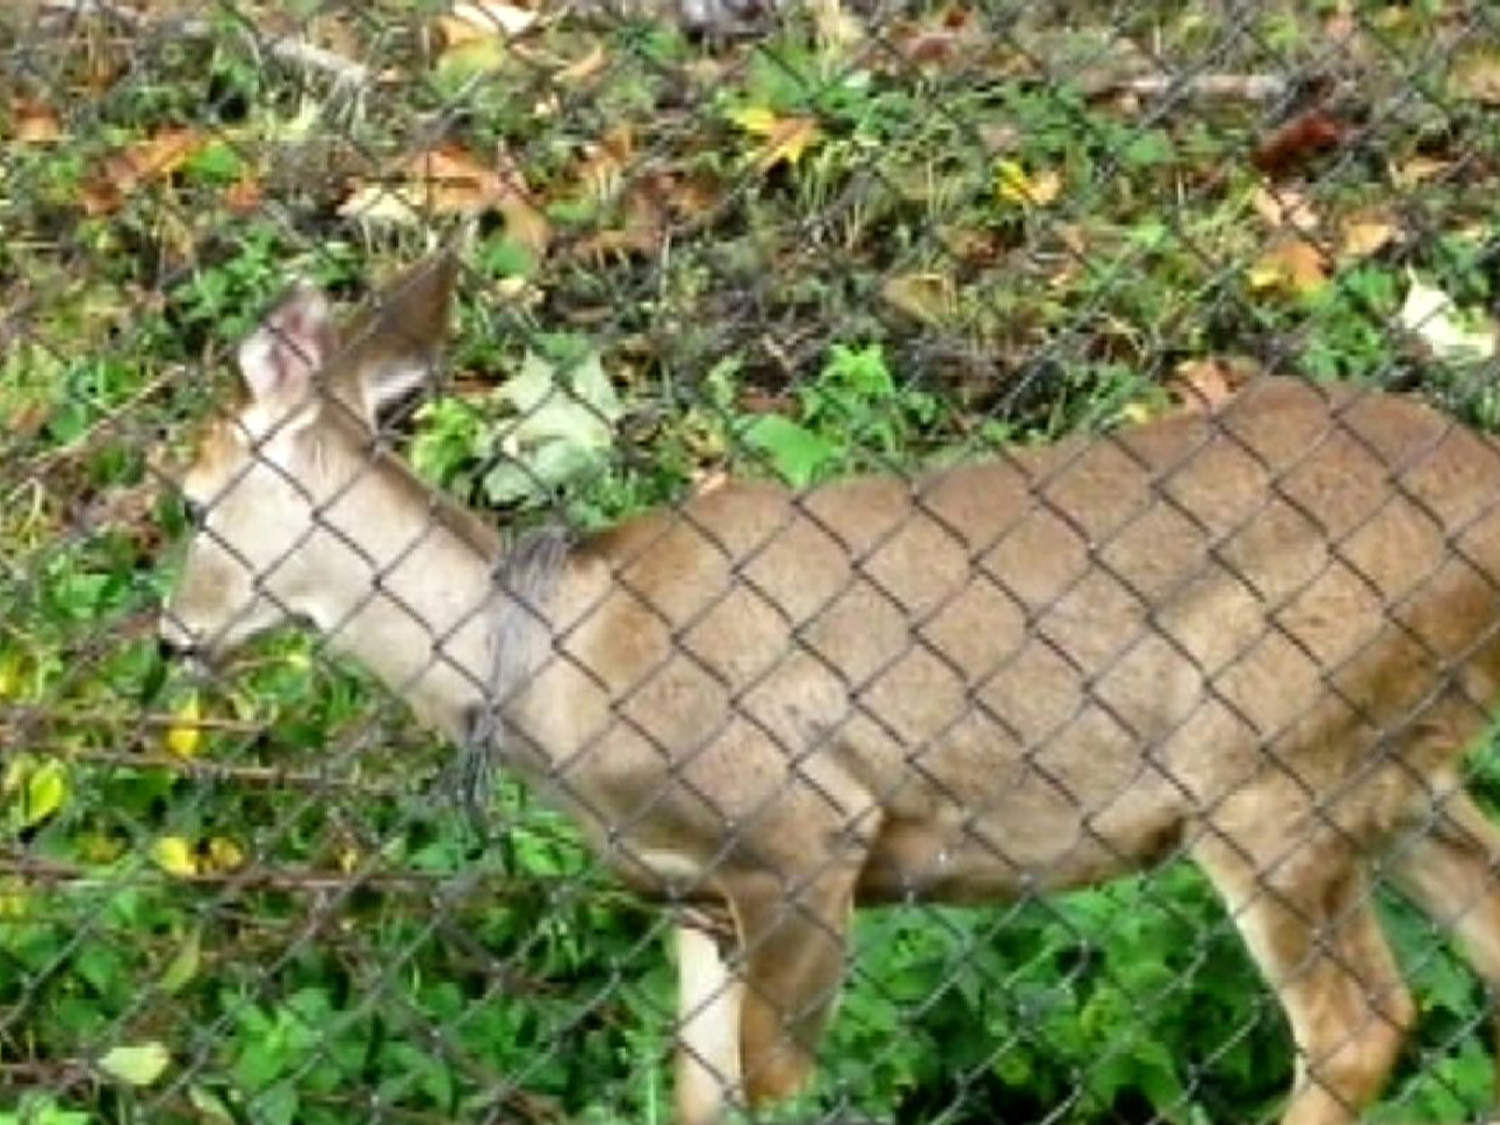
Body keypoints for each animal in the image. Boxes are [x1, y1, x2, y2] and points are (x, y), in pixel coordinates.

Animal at [159, 250, 1500, 1125]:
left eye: (194, 500)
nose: (175, 637)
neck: (566, 662)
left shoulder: (807, 830)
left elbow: (779, 1092)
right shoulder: (696, 896)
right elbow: (700, 1098)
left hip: (1266, 762)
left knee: (1357, 1027)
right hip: (1393, 767)